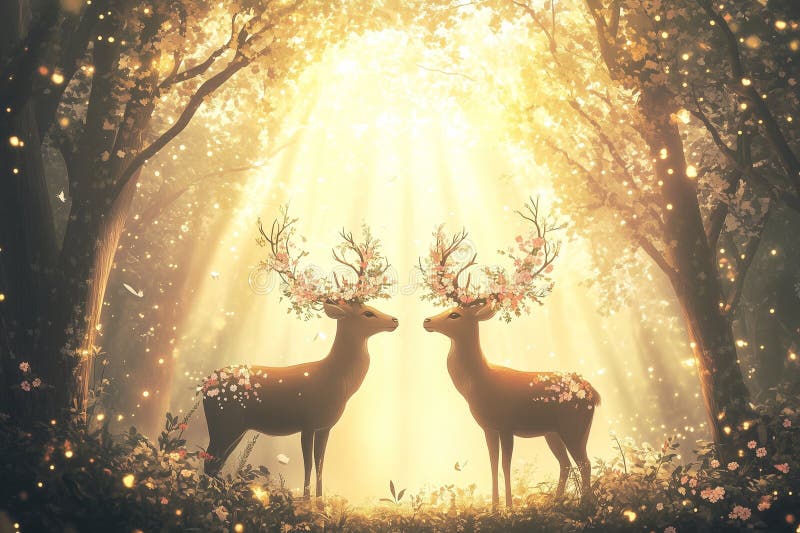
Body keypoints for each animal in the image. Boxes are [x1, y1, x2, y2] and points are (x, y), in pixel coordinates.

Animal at [200, 206, 398, 501]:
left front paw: (320, 499)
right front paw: (304, 498)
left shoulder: (325, 425)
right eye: (367, 313)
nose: (395, 320)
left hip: (236, 427)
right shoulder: (308, 420)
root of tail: (204, 384)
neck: (337, 380)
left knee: (214, 464)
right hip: (224, 420)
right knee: (208, 461)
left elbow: (320, 463)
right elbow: (307, 464)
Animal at [419, 197, 600, 508]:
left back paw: (583, 503)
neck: (480, 383)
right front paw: (493, 507)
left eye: (455, 314)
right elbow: (492, 464)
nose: (427, 320)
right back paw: (555, 502)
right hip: (552, 431)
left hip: (574, 424)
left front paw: (510, 507)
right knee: (565, 463)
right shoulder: (488, 427)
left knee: (584, 462)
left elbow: (506, 465)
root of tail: (594, 392)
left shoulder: (506, 423)